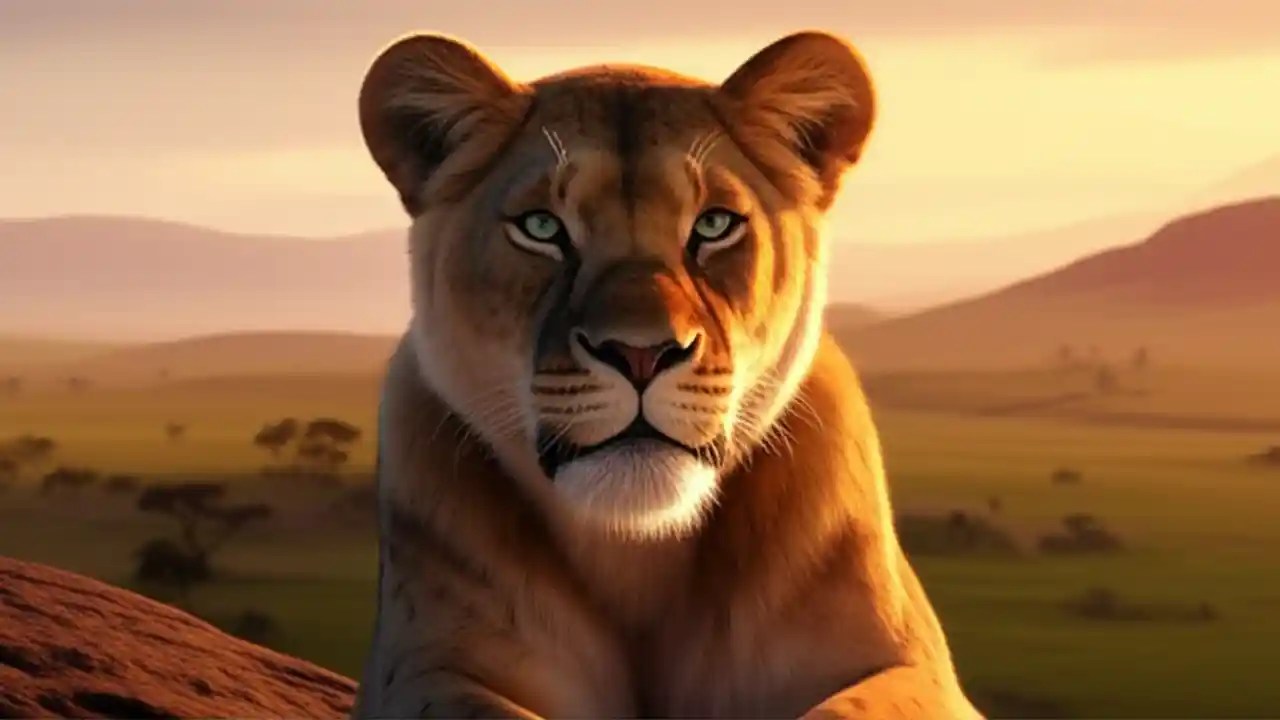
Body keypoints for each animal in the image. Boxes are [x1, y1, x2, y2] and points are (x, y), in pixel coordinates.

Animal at [351, 29, 983, 719]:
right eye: (541, 228)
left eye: (714, 225)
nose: (641, 354)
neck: (637, 558)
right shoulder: (425, 665)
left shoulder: (912, 665)